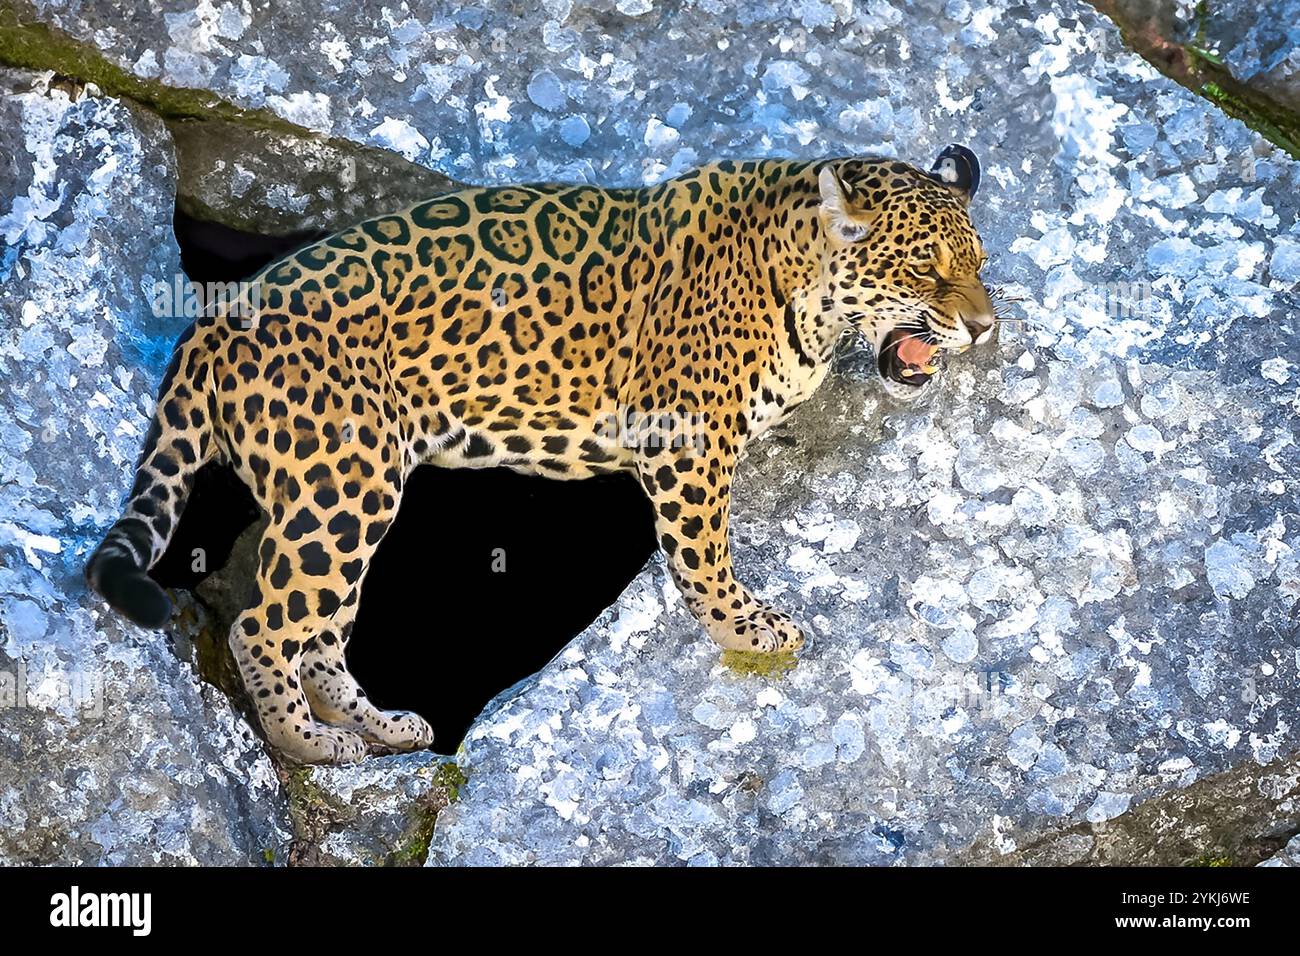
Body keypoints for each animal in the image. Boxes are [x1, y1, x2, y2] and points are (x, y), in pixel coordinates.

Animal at [85, 145, 997, 764]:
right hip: (338, 489)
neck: (800, 285)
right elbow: (703, 555)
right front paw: (744, 626)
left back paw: (380, 723)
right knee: (263, 625)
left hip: (349, 495)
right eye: (926, 269)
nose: (986, 327)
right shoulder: (689, 443)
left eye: (981, 264)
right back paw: (304, 742)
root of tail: (214, 318)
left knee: (322, 633)